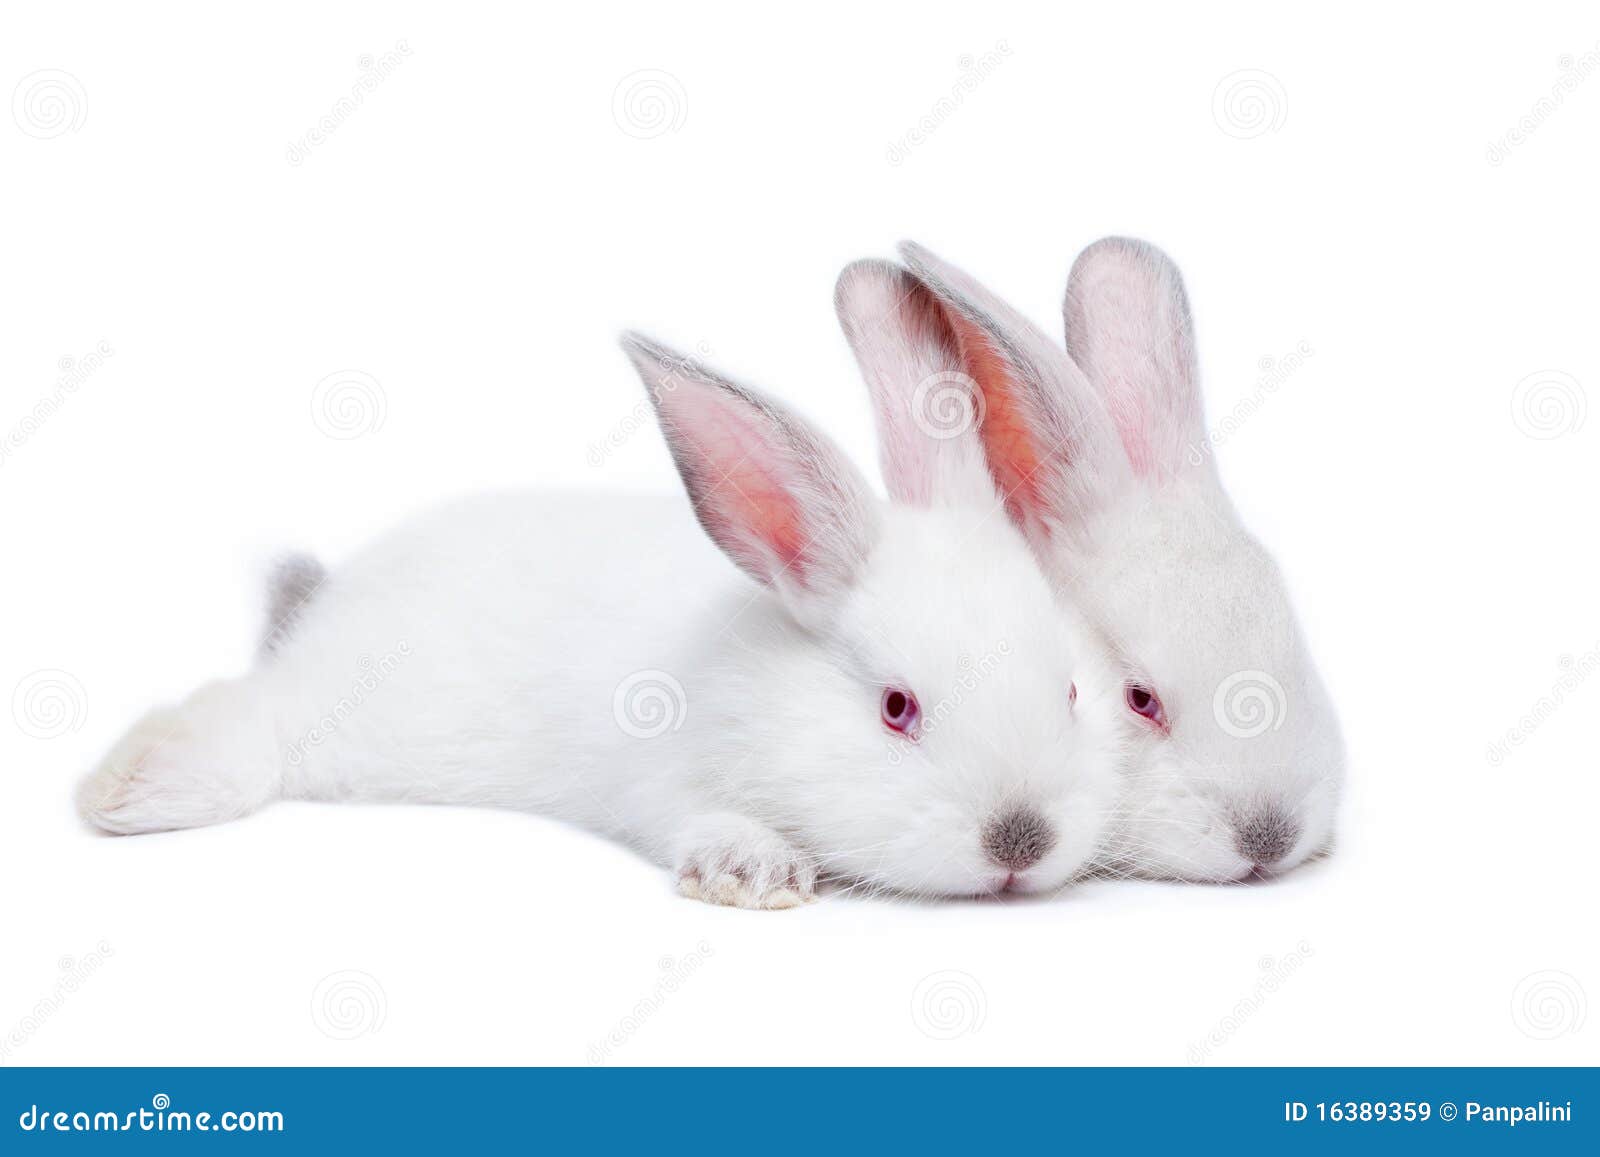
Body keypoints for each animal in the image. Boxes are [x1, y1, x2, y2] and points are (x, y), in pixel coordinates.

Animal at [76, 329, 1124, 909]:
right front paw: (753, 873)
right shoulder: (666, 777)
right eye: (897, 708)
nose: (1021, 844)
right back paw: (126, 788)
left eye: (1073, 692)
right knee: (248, 718)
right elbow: (698, 818)